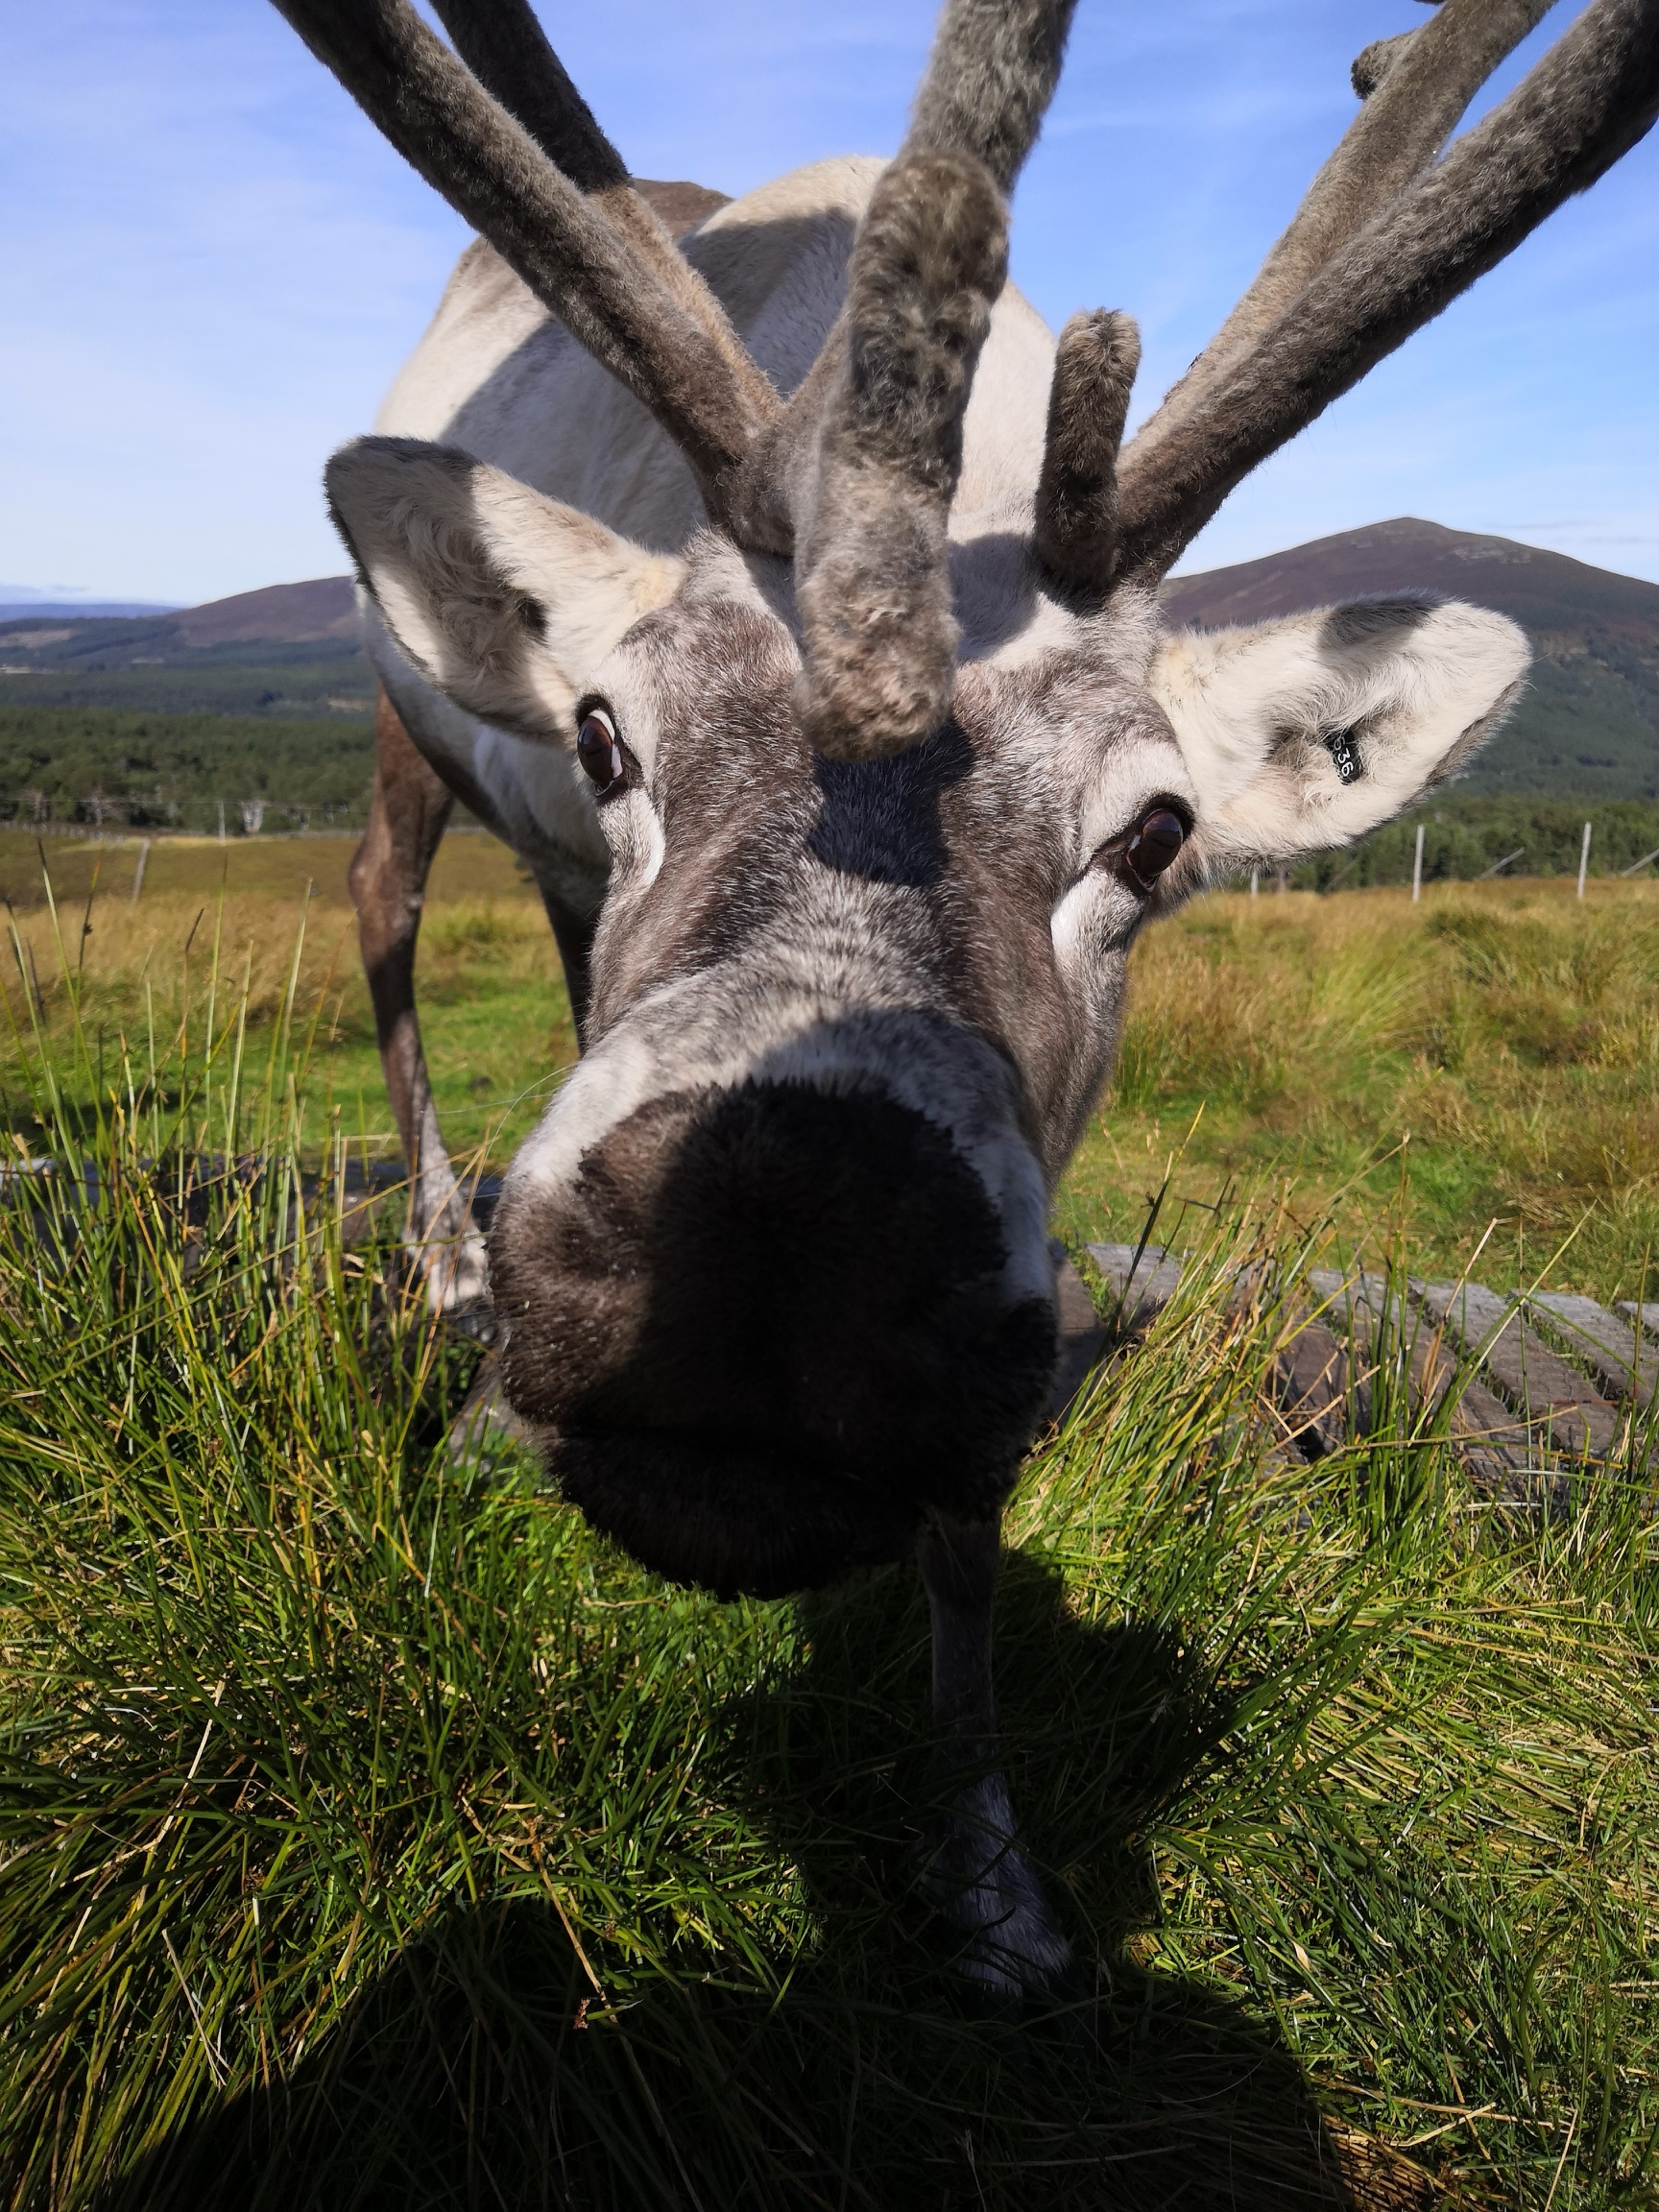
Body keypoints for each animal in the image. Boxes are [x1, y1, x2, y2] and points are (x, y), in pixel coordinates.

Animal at [273, 0, 1659, 2006]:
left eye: (1156, 830)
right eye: (613, 732)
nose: (775, 1229)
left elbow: (968, 1549)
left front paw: (993, 1875)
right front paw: (472, 1436)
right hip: (415, 725)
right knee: (387, 903)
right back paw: (450, 1249)